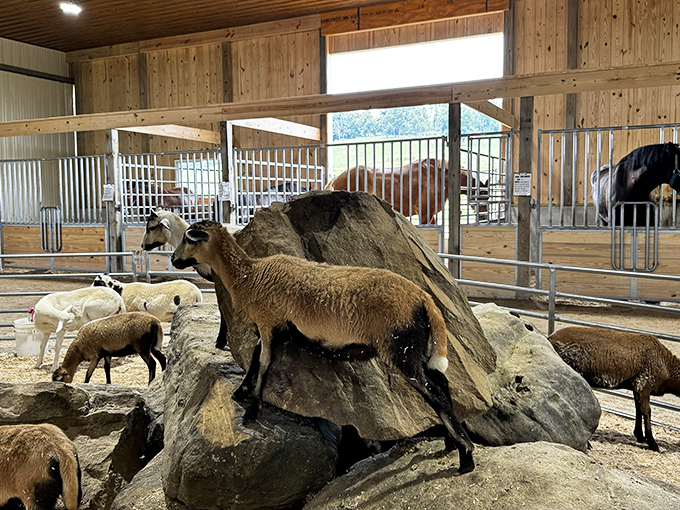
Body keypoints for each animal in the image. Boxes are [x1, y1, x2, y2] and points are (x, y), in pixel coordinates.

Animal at [171, 219, 476, 473]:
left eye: (188, 238)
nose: (173, 259)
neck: (249, 276)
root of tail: (424, 299)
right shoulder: (272, 329)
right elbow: (256, 358)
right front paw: (240, 392)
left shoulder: (268, 322)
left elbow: (265, 365)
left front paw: (252, 411)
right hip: (416, 349)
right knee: (442, 384)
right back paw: (451, 443)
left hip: (399, 348)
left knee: (435, 393)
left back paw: (466, 456)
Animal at [549, 326, 680, 451]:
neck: (667, 366)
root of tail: (550, 338)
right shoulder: (644, 384)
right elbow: (647, 412)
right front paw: (652, 443)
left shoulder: (636, 386)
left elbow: (638, 409)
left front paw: (640, 436)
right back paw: (587, 443)